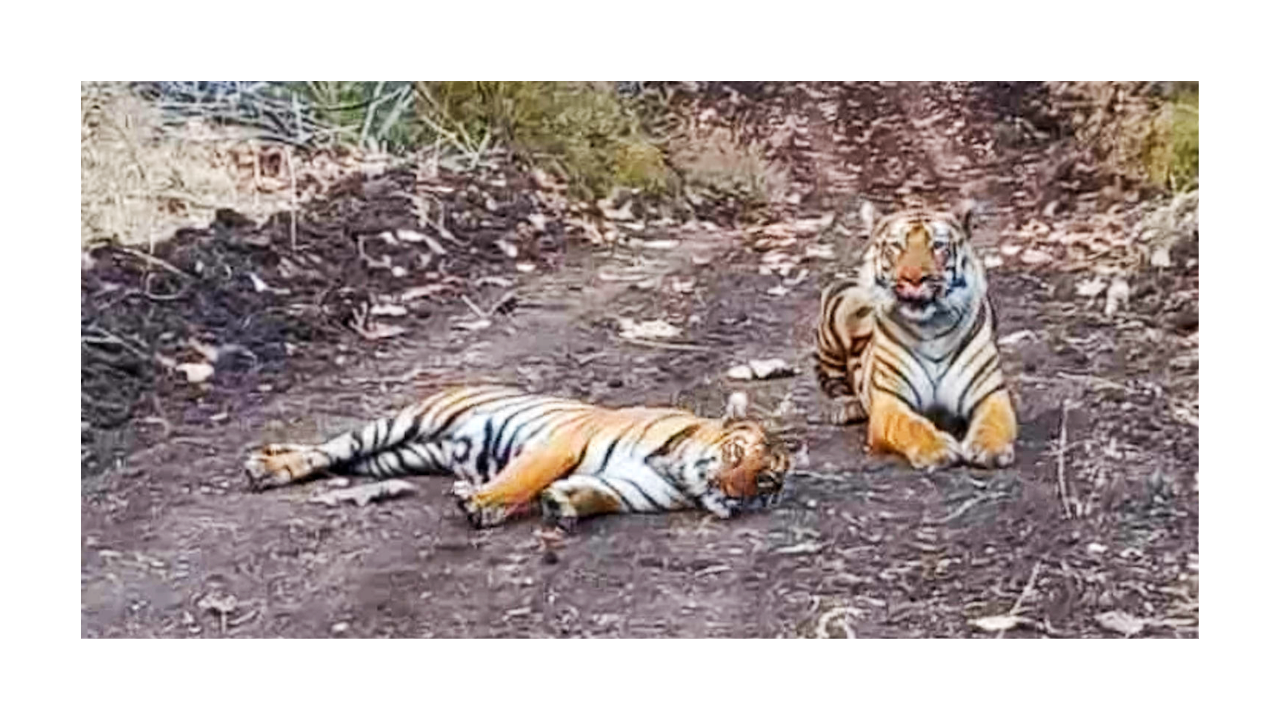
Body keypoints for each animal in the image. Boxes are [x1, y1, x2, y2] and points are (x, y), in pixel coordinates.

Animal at [244, 385, 790, 529]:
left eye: (765, 483)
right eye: (736, 454)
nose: (733, 492)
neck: (675, 473)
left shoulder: (626, 489)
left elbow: (594, 493)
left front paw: (562, 505)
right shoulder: (562, 444)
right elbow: (525, 477)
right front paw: (482, 504)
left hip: (395, 459)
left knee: (342, 460)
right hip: (403, 423)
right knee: (333, 447)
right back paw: (266, 468)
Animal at [814, 199, 1017, 470]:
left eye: (938, 246)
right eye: (896, 246)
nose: (914, 278)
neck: (932, 328)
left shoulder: (990, 394)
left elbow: (994, 422)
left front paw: (989, 448)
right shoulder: (891, 403)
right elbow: (911, 426)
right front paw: (937, 449)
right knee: (832, 379)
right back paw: (846, 407)